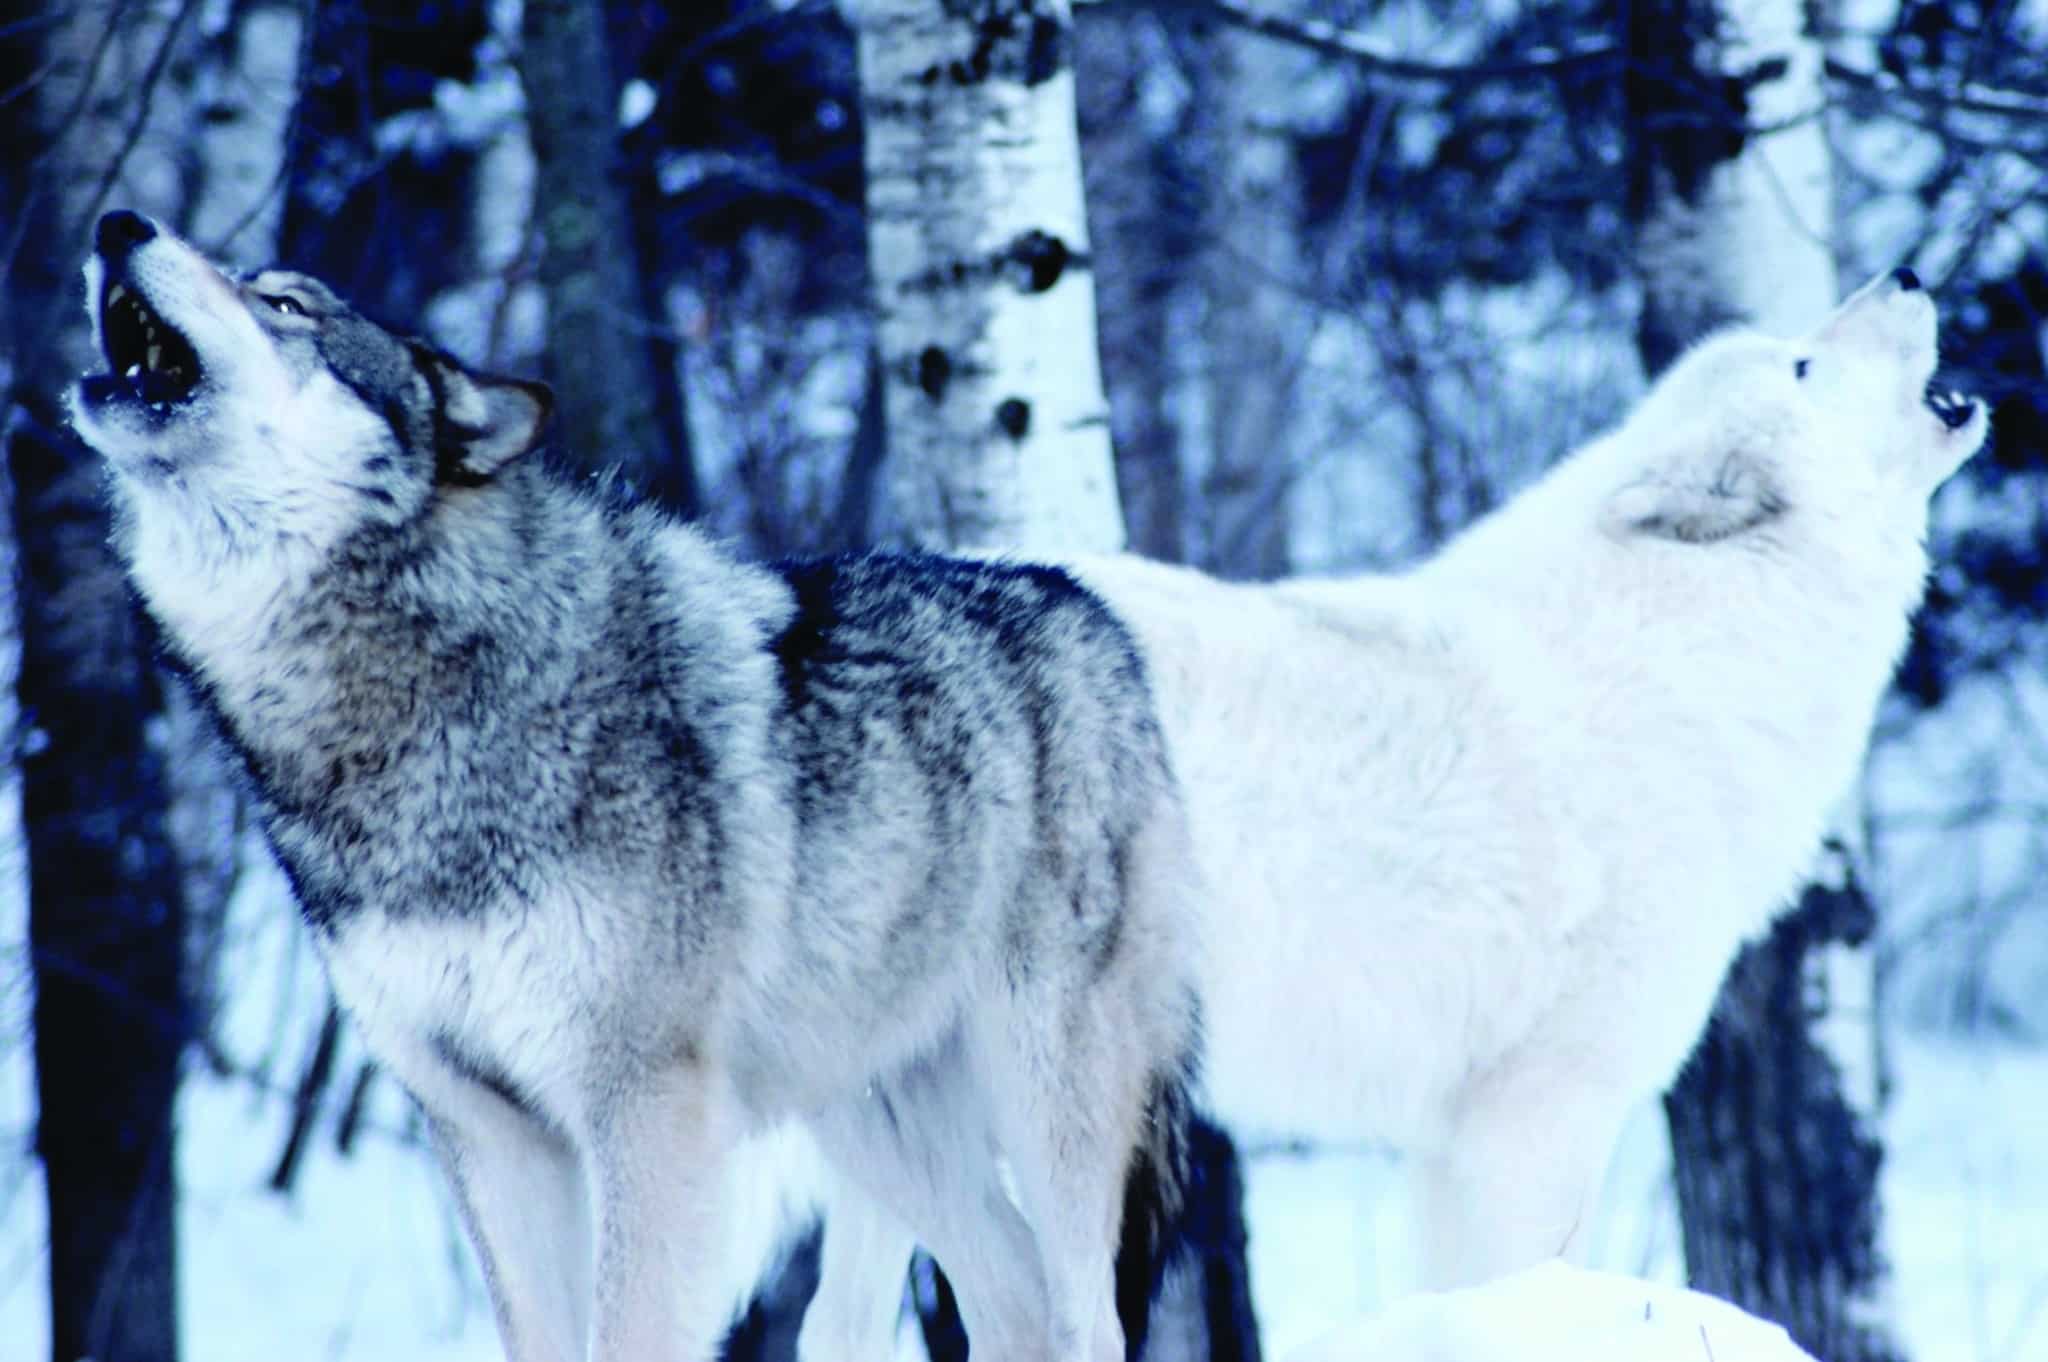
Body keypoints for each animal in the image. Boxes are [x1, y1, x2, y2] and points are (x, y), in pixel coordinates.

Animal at [67, 209, 1200, 1362]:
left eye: (287, 303)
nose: (119, 223)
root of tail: (1092, 609)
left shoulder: (644, 1105)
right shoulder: (487, 1128)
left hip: (1044, 1103)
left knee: (1083, 1315)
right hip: (876, 1121)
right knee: (1008, 1299)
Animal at [800, 267, 1988, 1337]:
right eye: (1802, 366)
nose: (1907, 271)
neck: (1686, 648)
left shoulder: (1457, 1143)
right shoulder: (1539, 1116)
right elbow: (1519, 1288)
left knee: (843, 1321)